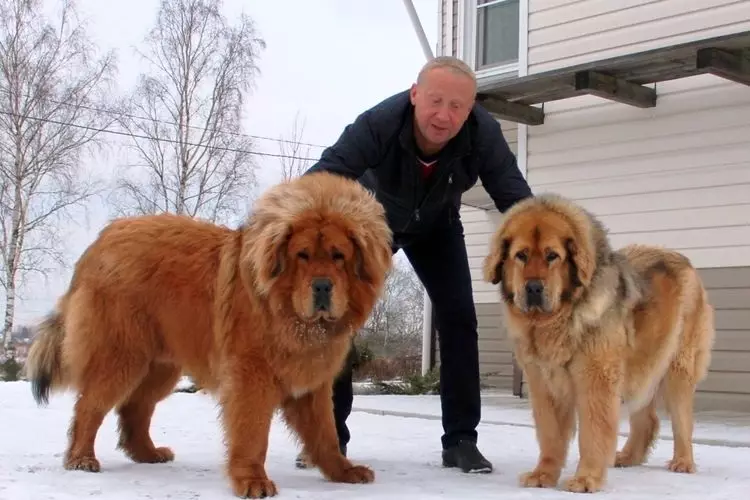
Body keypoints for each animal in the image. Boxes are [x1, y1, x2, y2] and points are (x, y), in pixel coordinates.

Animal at [25, 171, 394, 496]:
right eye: (302, 255)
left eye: (338, 256)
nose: (321, 286)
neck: (287, 314)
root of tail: (99, 243)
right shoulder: (250, 377)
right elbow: (253, 433)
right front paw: (252, 480)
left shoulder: (312, 381)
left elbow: (326, 433)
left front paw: (342, 471)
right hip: (121, 356)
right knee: (90, 406)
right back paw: (81, 458)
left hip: (161, 366)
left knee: (135, 408)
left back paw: (147, 453)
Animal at [484, 194, 720, 492]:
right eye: (521, 255)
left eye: (552, 256)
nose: (534, 288)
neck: (557, 321)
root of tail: (683, 259)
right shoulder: (544, 384)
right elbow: (550, 434)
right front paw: (543, 474)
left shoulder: (595, 379)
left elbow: (593, 433)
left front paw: (587, 478)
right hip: (642, 366)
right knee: (648, 420)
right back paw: (628, 457)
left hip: (677, 368)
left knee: (683, 420)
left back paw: (683, 461)